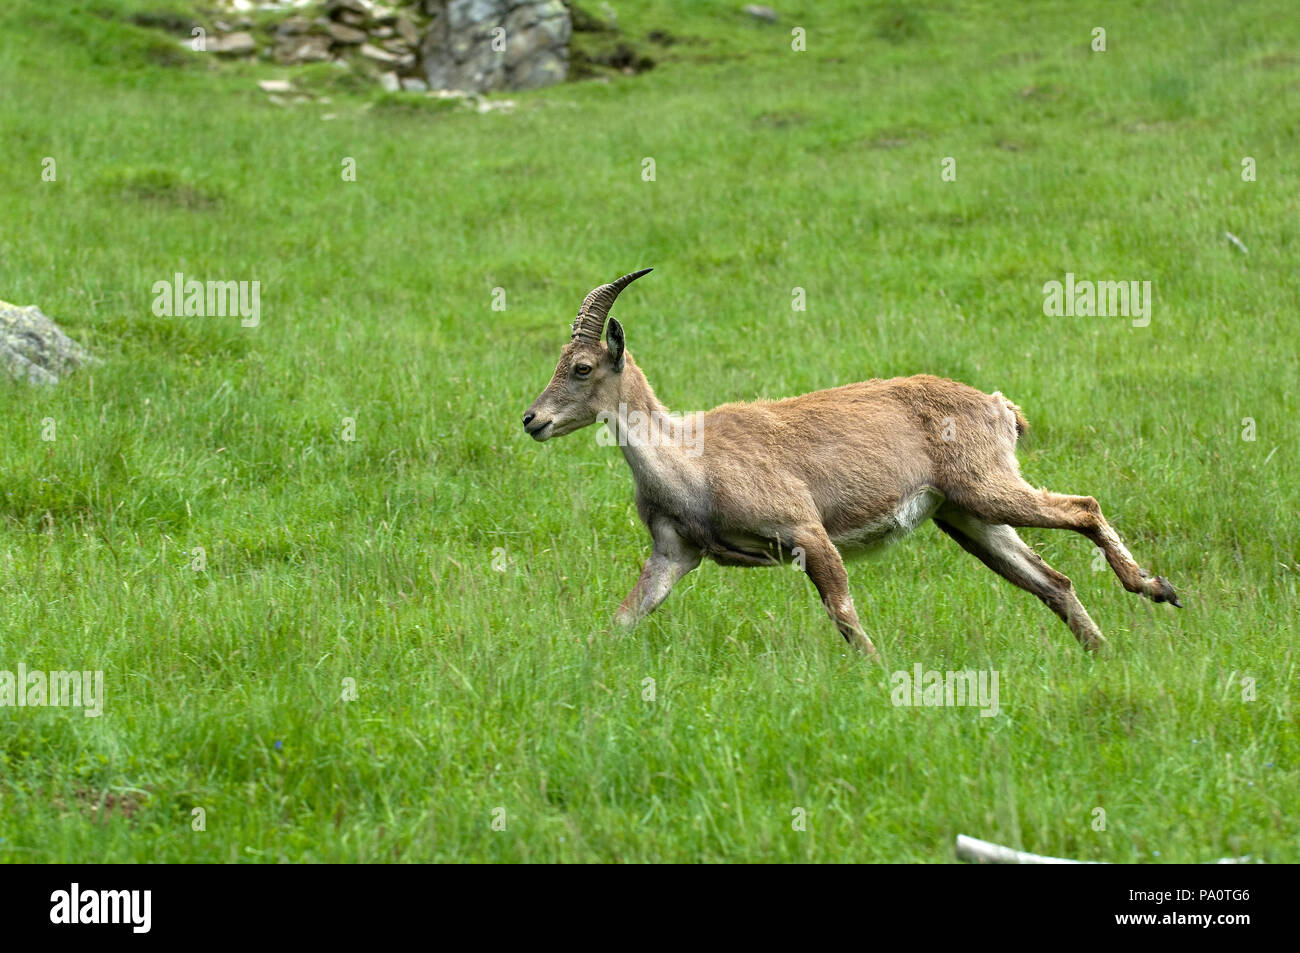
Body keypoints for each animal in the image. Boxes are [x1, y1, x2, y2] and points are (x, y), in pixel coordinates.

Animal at [523, 269, 1181, 655]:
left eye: (581, 366)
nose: (532, 420)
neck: (692, 463)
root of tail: (999, 406)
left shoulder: (806, 533)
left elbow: (843, 613)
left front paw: (874, 671)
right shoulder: (675, 553)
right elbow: (624, 616)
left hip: (988, 488)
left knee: (1082, 507)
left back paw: (1157, 589)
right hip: (967, 517)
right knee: (1051, 579)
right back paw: (1100, 650)